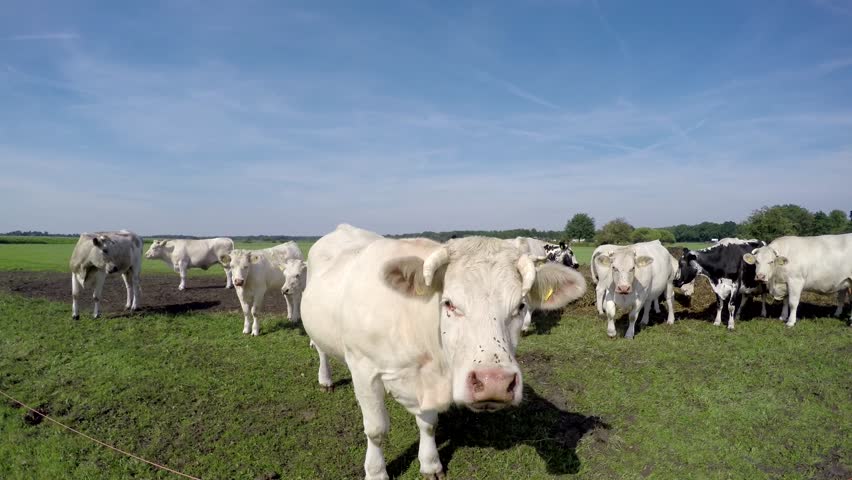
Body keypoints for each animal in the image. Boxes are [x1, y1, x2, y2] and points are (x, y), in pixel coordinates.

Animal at [300, 224, 587, 479]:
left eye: (520, 306)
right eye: (448, 303)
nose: (493, 383)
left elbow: (428, 424)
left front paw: (430, 464)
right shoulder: (364, 369)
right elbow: (376, 430)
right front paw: (376, 472)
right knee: (322, 352)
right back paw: (325, 380)